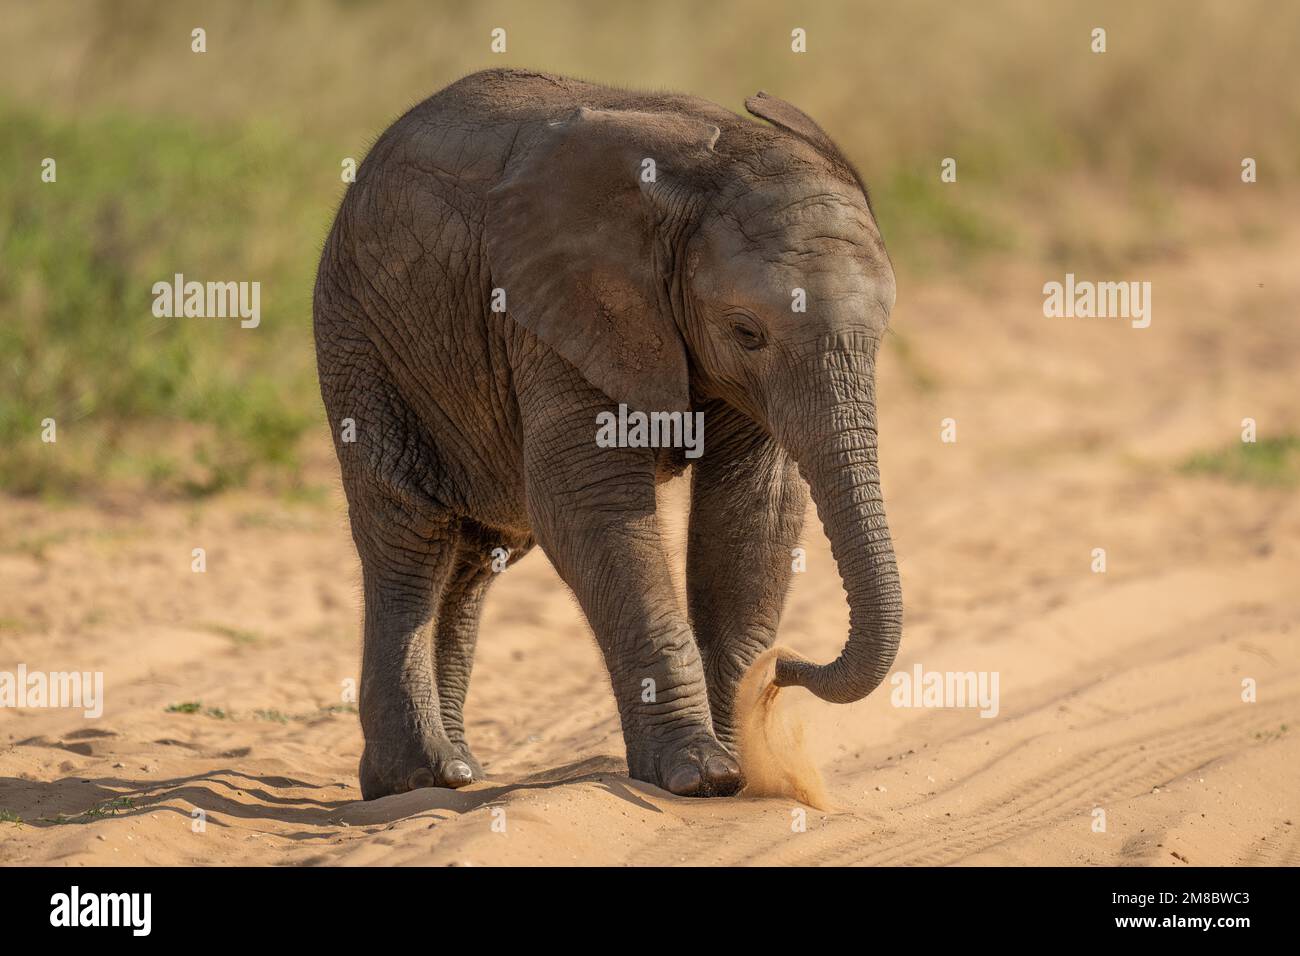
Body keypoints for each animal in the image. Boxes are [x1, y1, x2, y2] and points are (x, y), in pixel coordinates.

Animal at [313, 68, 901, 800]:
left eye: (883, 328)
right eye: (747, 332)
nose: (784, 669)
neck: (706, 174)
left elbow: (751, 512)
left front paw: (739, 765)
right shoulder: (555, 313)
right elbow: (590, 508)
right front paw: (700, 776)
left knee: (478, 554)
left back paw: (460, 769)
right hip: (362, 340)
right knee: (411, 534)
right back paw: (417, 778)